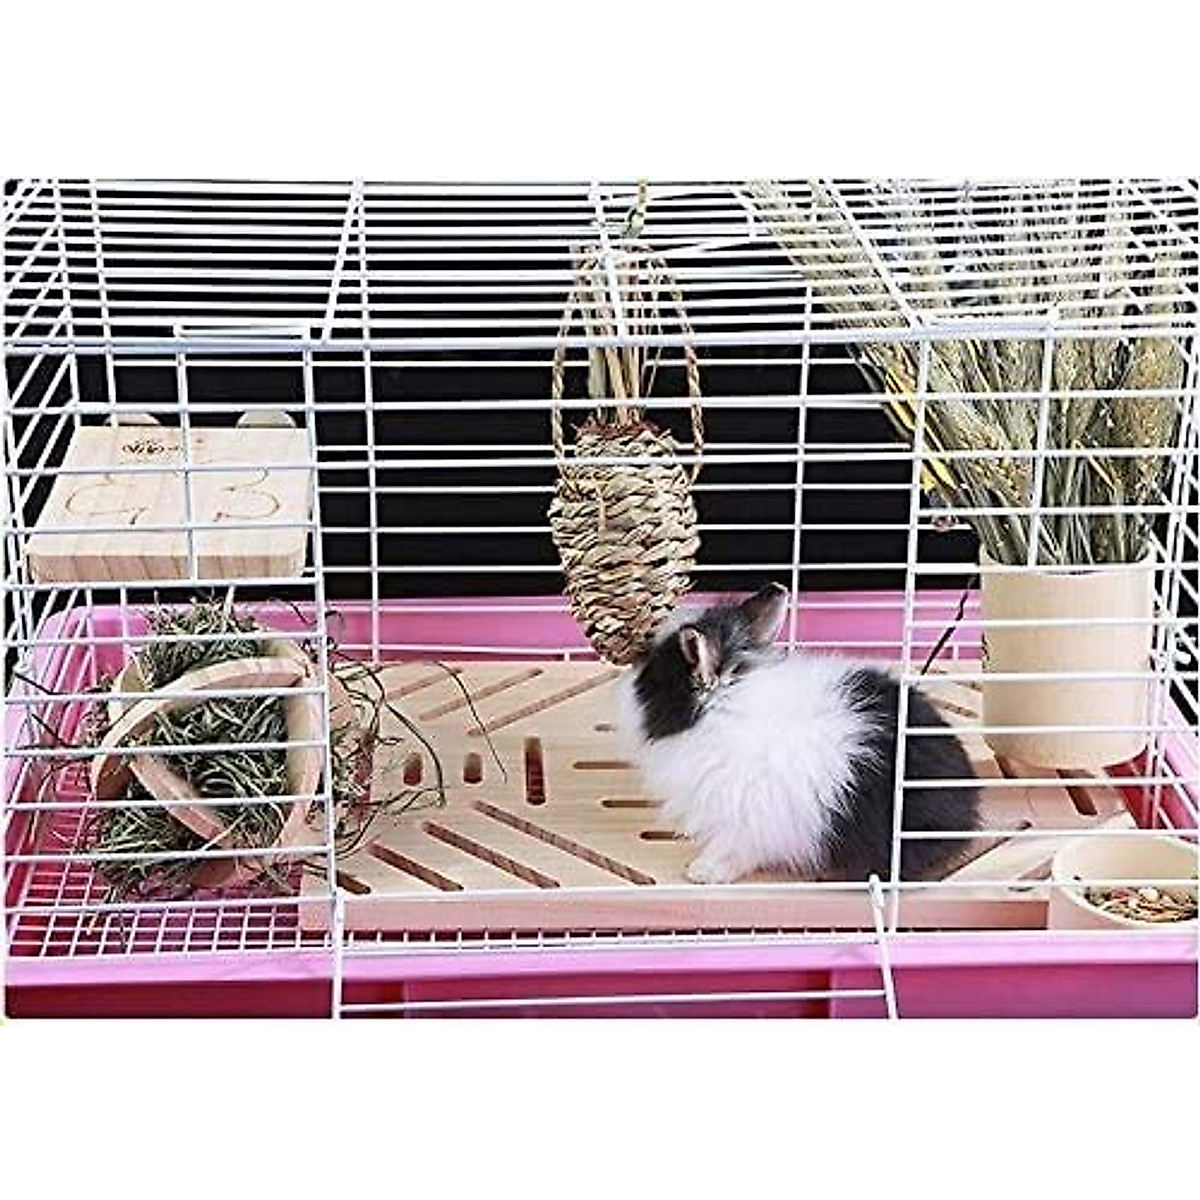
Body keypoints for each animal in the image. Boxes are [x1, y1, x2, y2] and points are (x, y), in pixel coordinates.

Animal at [614, 583, 982, 884]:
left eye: (652, 679)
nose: (628, 686)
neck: (727, 707)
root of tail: (968, 802)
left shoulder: (748, 815)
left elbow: (734, 848)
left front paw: (702, 872)